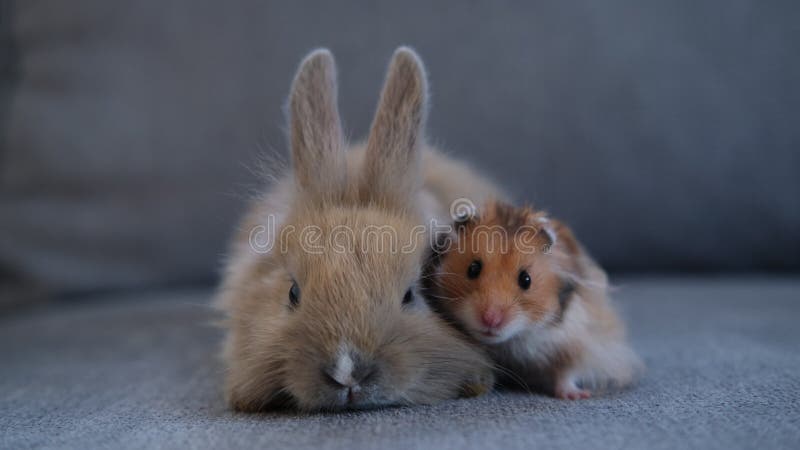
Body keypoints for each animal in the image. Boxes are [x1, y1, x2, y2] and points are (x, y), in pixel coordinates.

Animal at [424, 200, 642, 399]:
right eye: (473, 269)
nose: (491, 320)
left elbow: (566, 372)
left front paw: (576, 396)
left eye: (526, 279)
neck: (509, 341)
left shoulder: (576, 340)